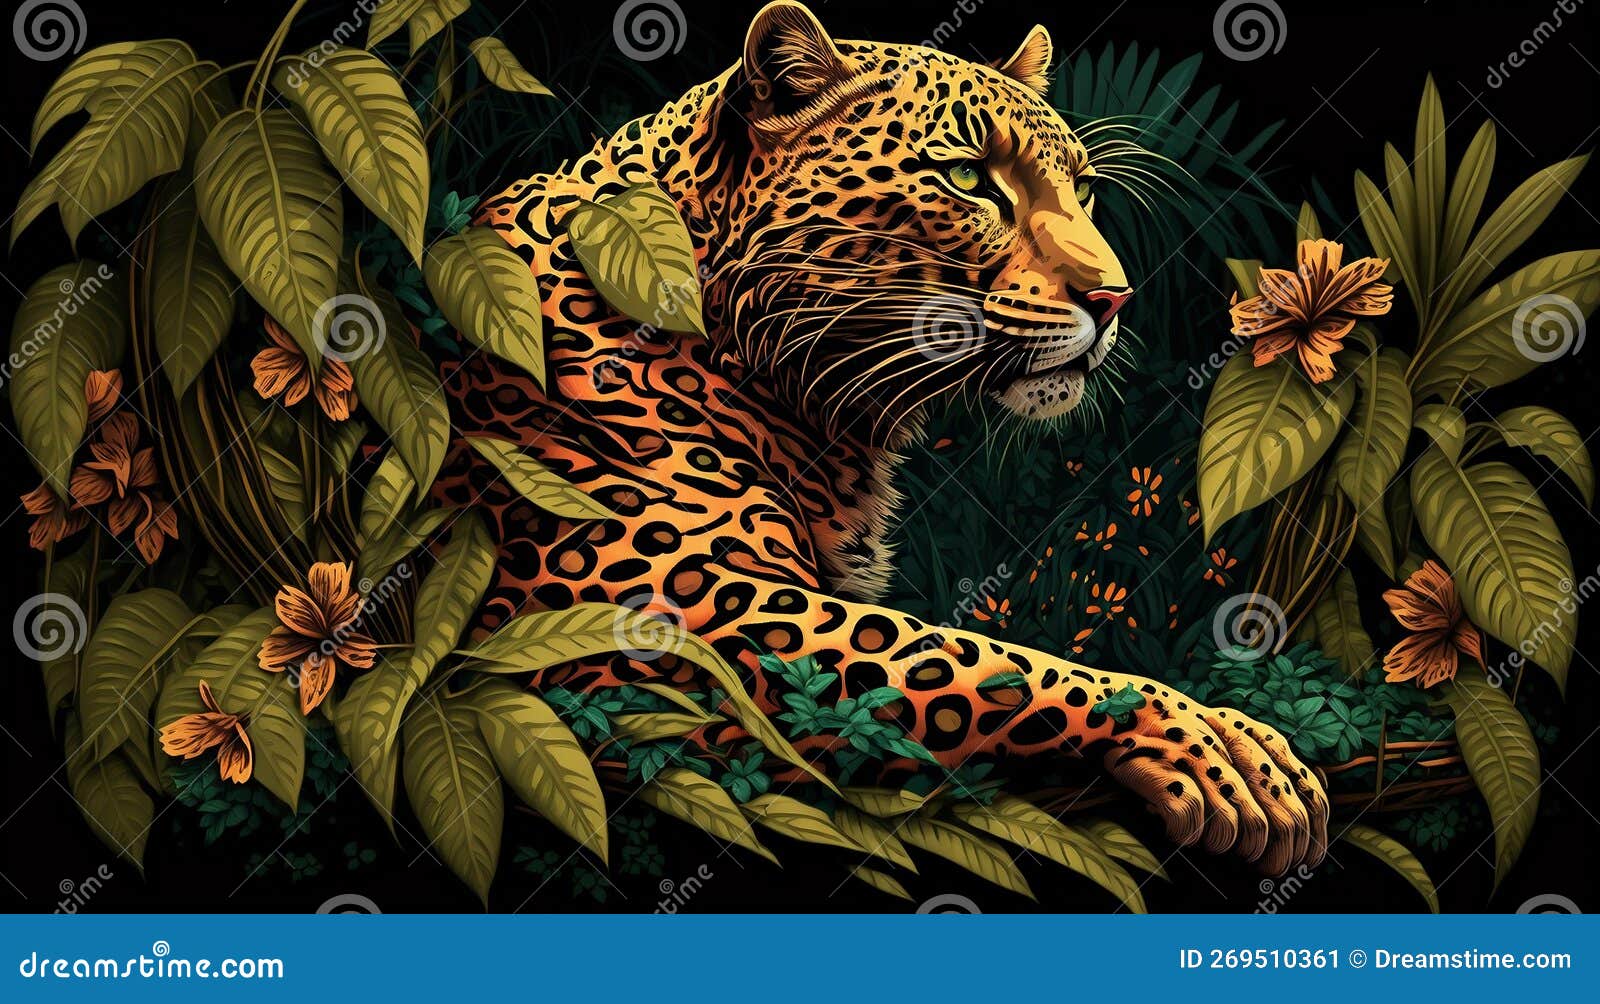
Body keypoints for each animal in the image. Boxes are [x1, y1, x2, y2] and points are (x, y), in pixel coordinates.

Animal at [436, 0, 1329, 877]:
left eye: (1081, 188)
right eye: (968, 179)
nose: (1115, 298)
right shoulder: (662, 622)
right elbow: (982, 663)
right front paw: (1217, 746)